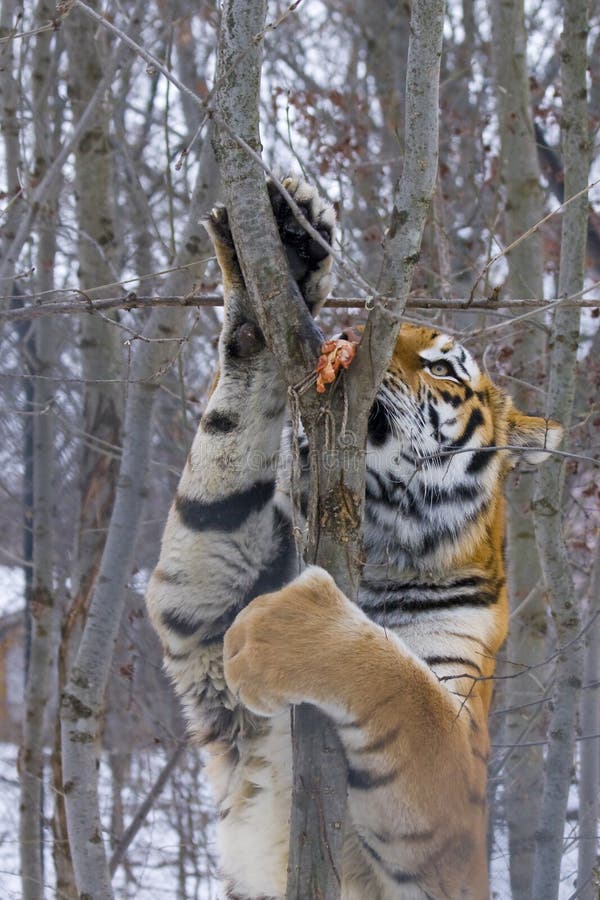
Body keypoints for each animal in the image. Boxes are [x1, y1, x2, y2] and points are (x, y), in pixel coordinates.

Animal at [146, 177, 562, 900]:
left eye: (444, 368)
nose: (344, 332)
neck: (382, 541)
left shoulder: (459, 799)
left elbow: (402, 685)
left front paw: (292, 626)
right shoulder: (200, 629)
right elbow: (221, 474)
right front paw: (289, 244)